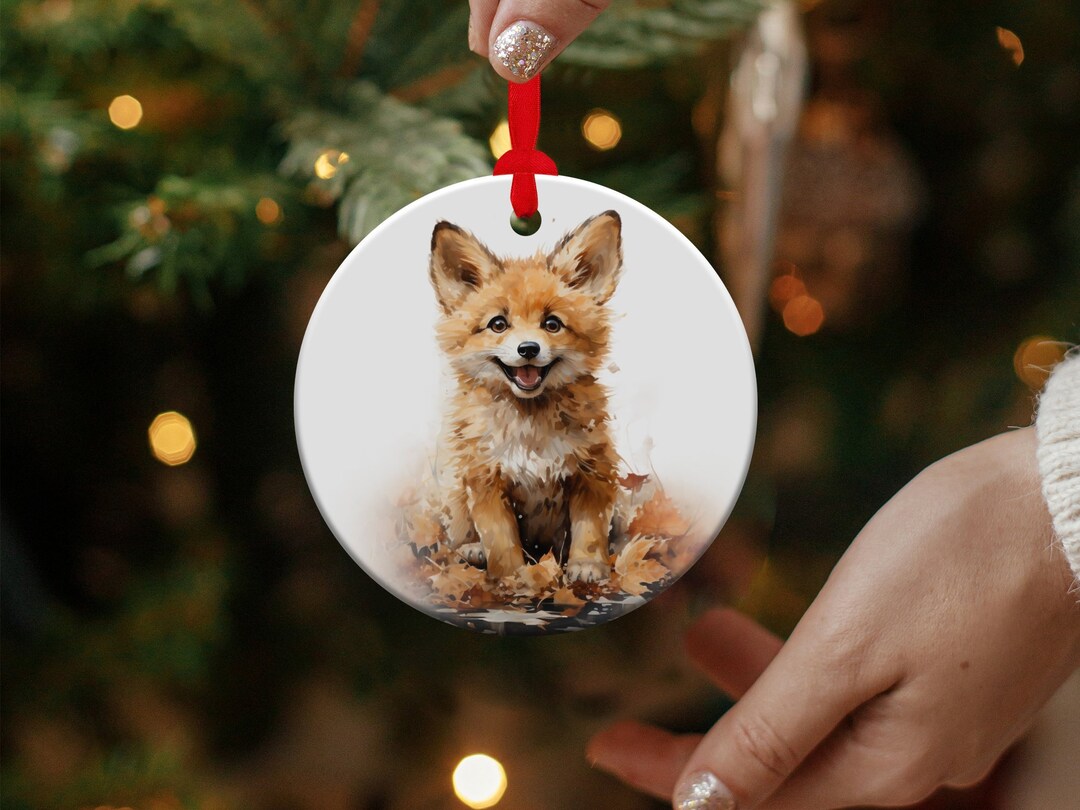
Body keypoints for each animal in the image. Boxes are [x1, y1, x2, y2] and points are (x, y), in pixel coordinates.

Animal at [428, 210, 624, 583]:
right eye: (498, 324)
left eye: (552, 324)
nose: (528, 349)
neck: (531, 428)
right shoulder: (486, 481)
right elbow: (500, 541)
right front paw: (512, 578)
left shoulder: (592, 471)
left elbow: (589, 530)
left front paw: (587, 565)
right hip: (458, 485)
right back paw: (471, 549)